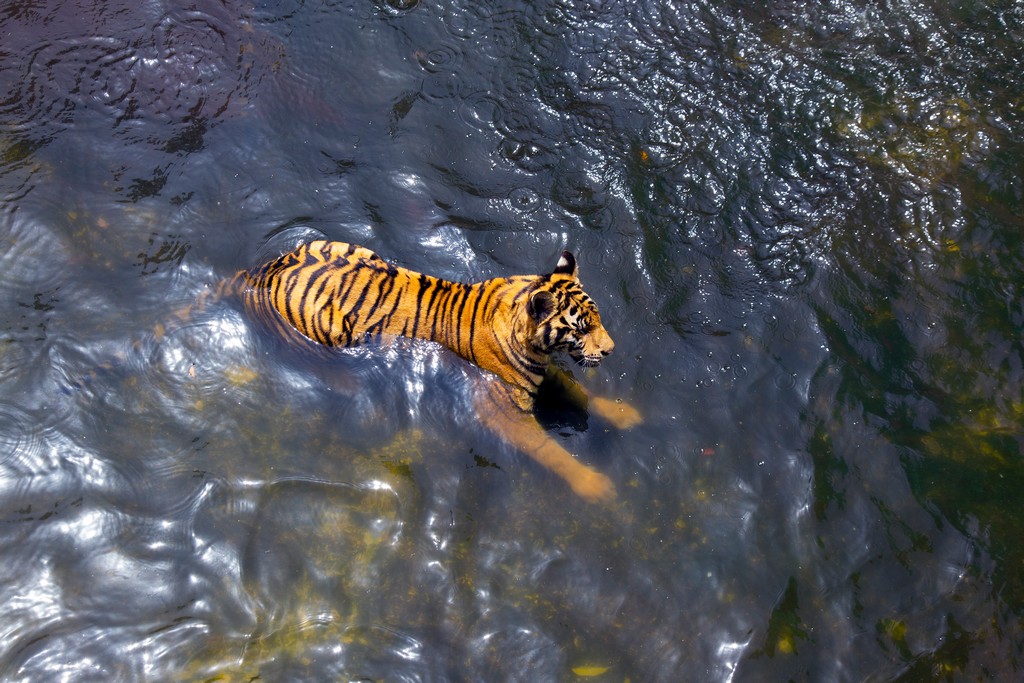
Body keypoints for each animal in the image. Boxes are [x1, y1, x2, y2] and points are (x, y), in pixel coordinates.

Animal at [191, 240, 641, 502]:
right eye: (580, 328)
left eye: (597, 318)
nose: (612, 349)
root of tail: (264, 270)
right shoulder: (501, 409)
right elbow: (552, 453)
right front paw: (596, 487)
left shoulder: (544, 372)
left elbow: (578, 392)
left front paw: (626, 414)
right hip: (324, 330)